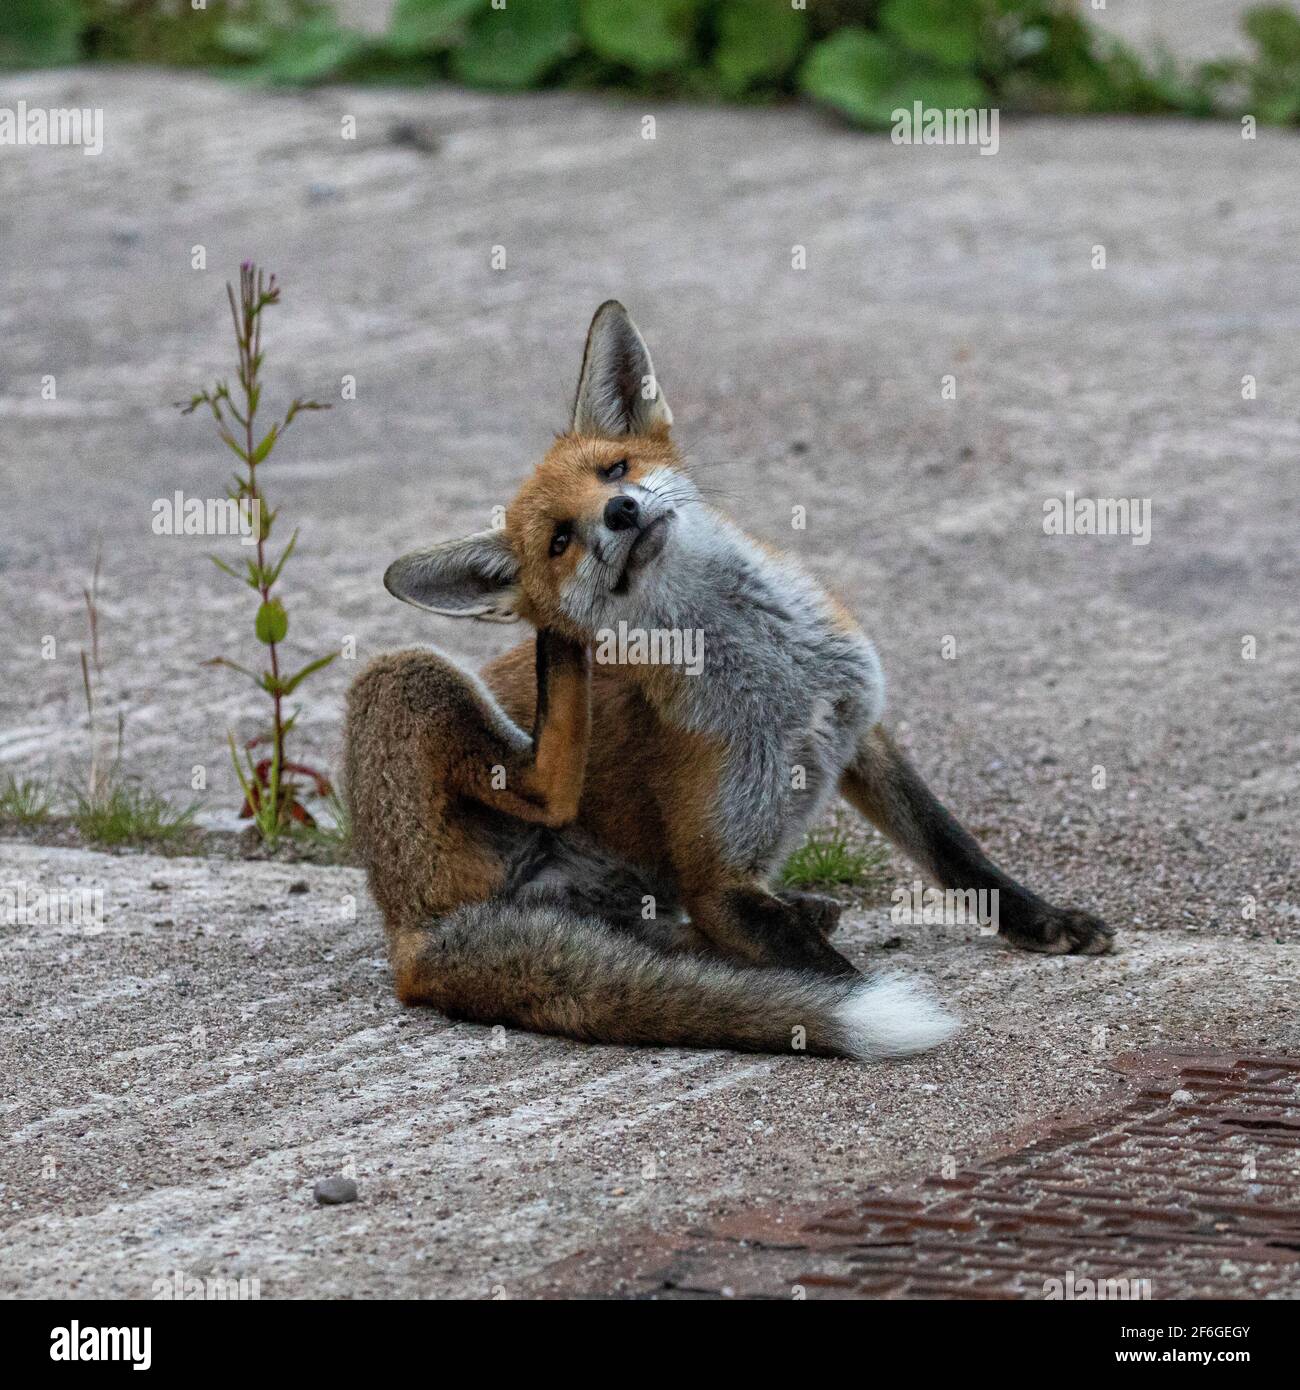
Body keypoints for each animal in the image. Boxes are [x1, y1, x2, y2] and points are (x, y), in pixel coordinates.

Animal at [344, 301, 1113, 1061]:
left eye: (614, 468)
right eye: (560, 540)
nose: (621, 511)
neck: (783, 679)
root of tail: (409, 941)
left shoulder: (861, 734)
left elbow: (955, 850)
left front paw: (1043, 921)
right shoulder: (715, 877)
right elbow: (830, 978)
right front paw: (849, 1004)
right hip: (399, 675)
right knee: (548, 788)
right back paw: (558, 650)